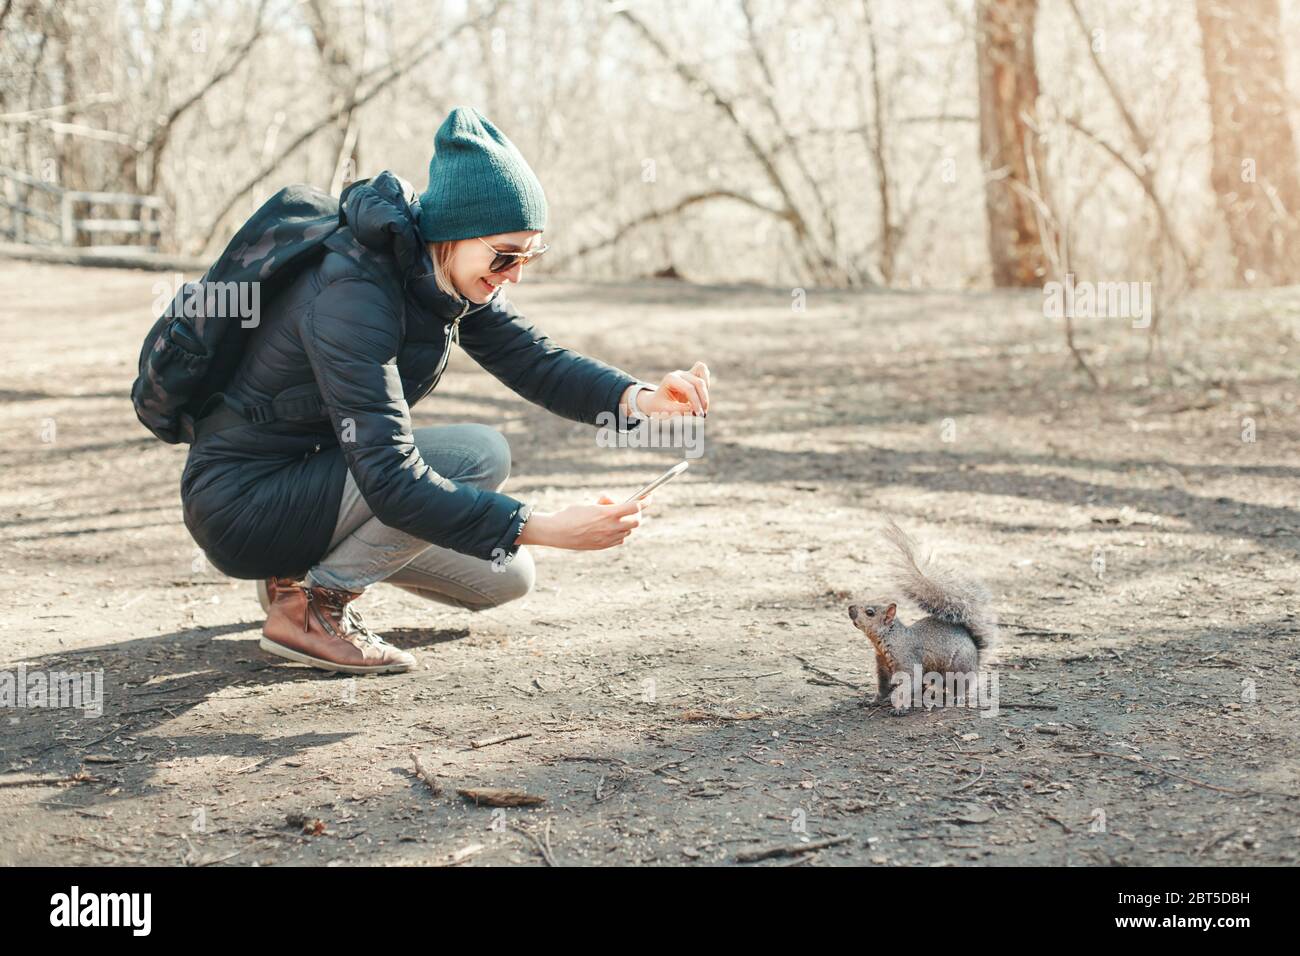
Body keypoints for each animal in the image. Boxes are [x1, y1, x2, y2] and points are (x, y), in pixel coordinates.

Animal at [847, 521, 999, 713]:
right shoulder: (882, 667)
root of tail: (976, 656)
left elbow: (908, 684)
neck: (887, 640)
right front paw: (871, 701)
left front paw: (899, 708)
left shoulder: (908, 660)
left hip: (958, 668)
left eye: (870, 612)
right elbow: (883, 688)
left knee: (960, 687)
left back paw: (953, 697)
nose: (850, 608)